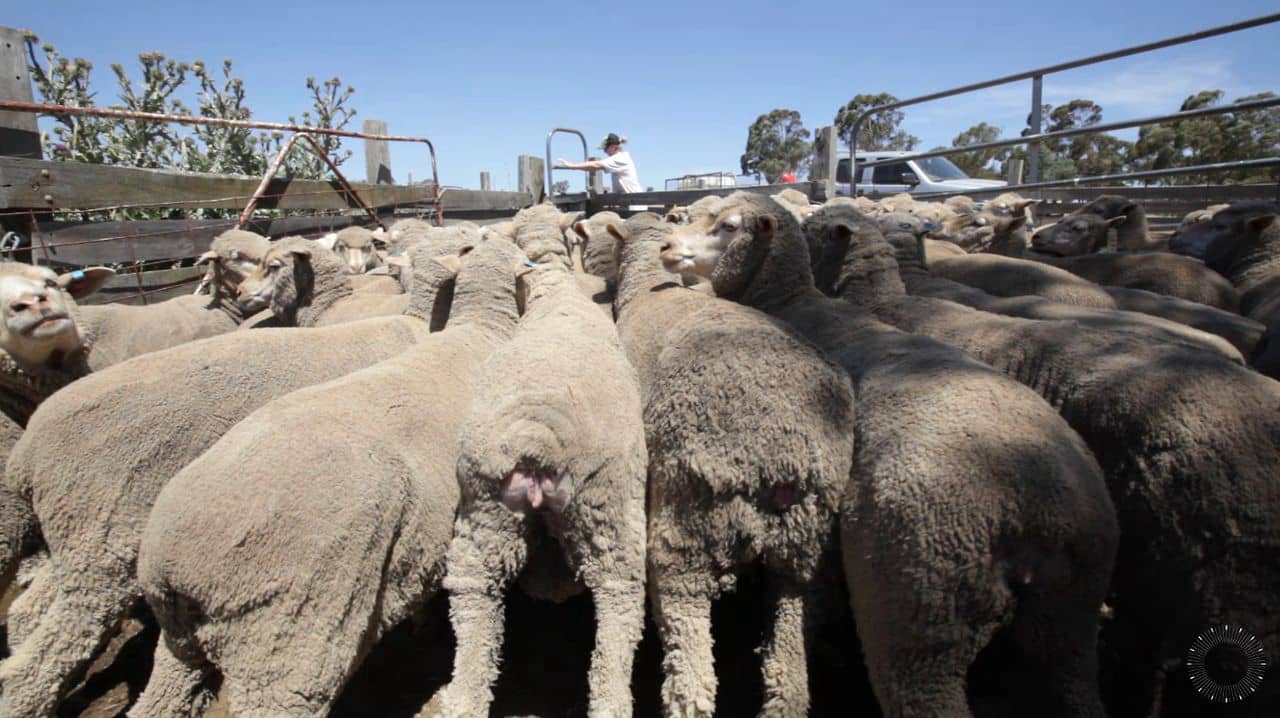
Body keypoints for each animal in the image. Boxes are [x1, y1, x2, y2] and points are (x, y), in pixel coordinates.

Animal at [437, 204, 647, 718]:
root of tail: (534, 434)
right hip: (607, 505)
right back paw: (612, 697)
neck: (552, 292)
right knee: (619, 597)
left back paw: (464, 696)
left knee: (473, 594)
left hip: (484, 511)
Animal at [608, 213, 856, 715]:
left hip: (687, 531)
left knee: (689, 654)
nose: (669, 246)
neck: (647, 289)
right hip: (806, 551)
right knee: (790, 655)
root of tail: (783, 454)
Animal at [661, 191, 1119, 718]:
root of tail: (1033, 504)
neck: (789, 300)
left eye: (729, 226)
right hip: (1071, 613)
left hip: (918, 602)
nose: (666, 246)